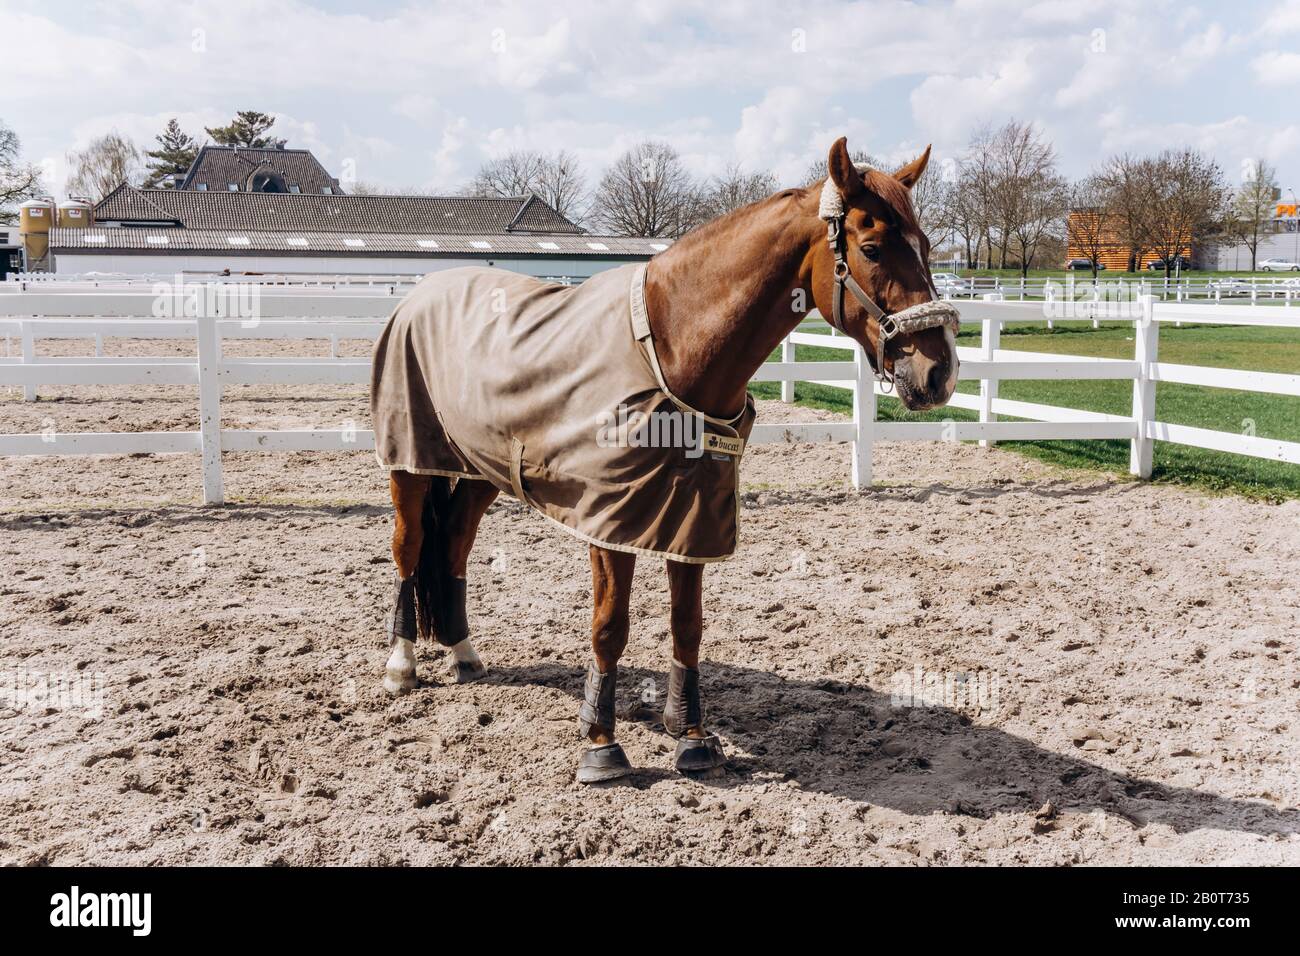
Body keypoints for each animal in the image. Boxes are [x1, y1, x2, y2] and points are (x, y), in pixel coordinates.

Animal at [369, 137, 959, 783]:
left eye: (927, 246)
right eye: (872, 247)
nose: (939, 373)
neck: (673, 348)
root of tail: (422, 292)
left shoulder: (693, 517)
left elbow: (687, 625)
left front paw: (691, 736)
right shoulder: (610, 522)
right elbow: (609, 627)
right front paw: (601, 744)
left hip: (482, 469)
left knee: (453, 544)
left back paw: (463, 653)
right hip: (410, 461)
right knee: (409, 547)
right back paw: (401, 665)